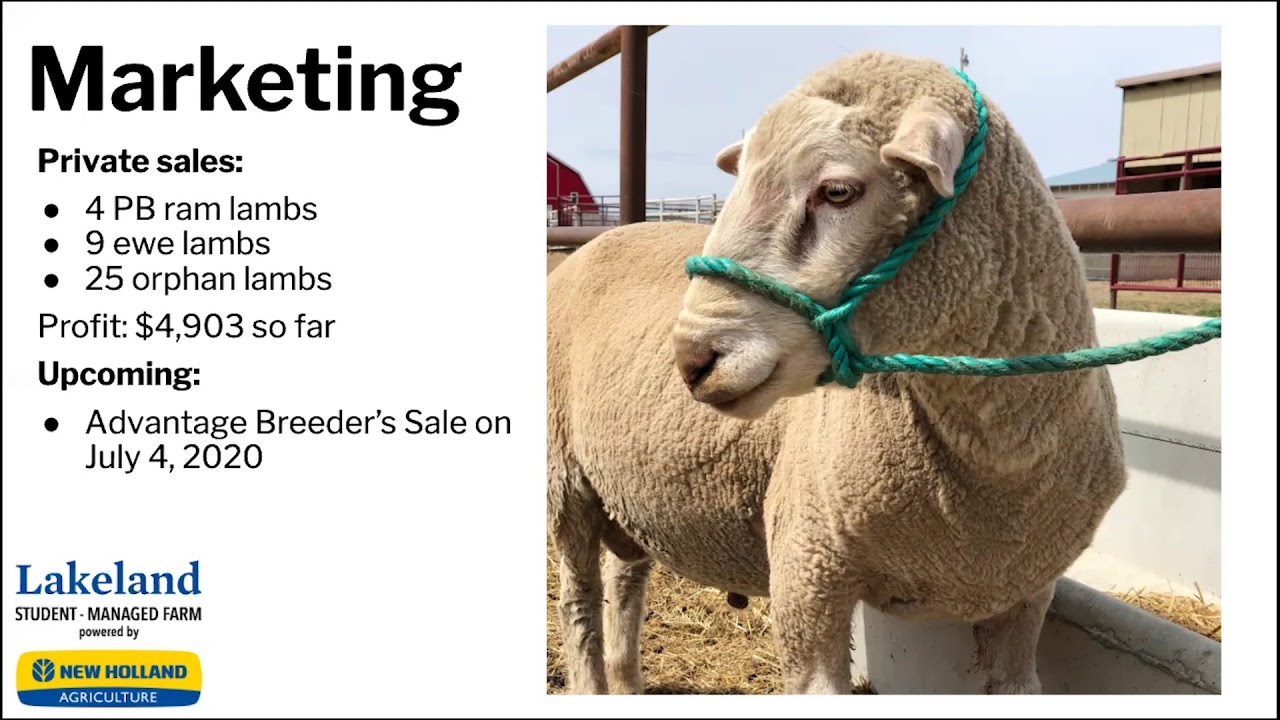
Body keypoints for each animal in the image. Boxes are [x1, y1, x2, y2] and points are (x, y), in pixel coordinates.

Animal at [547, 50, 1126, 695]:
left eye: (839, 191)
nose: (691, 359)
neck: (996, 471)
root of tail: (603, 237)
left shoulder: (1027, 599)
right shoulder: (807, 568)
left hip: (626, 485)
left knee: (625, 576)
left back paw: (626, 682)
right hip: (564, 477)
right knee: (578, 598)